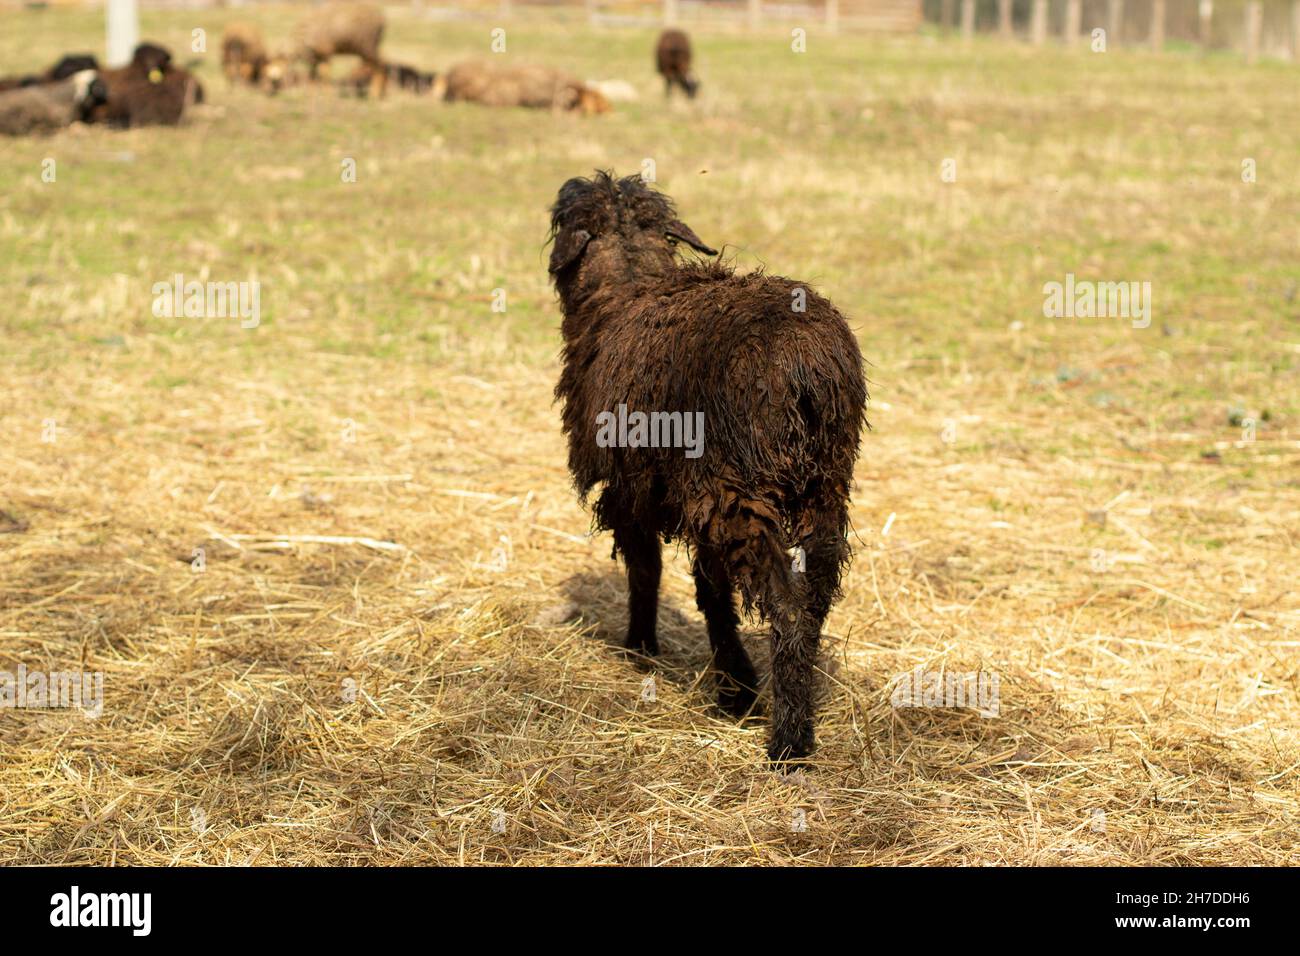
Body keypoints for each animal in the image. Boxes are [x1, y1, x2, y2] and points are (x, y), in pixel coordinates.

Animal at [548, 172, 867, 763]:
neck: (627, 285)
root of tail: (805, 364)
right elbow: (711, 590)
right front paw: (735, 688)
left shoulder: (630, 488)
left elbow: (646, 568)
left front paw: (642, 648)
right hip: (825, 484)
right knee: (813, 601)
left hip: (739, 489)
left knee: (787, 607)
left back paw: (788, 743)